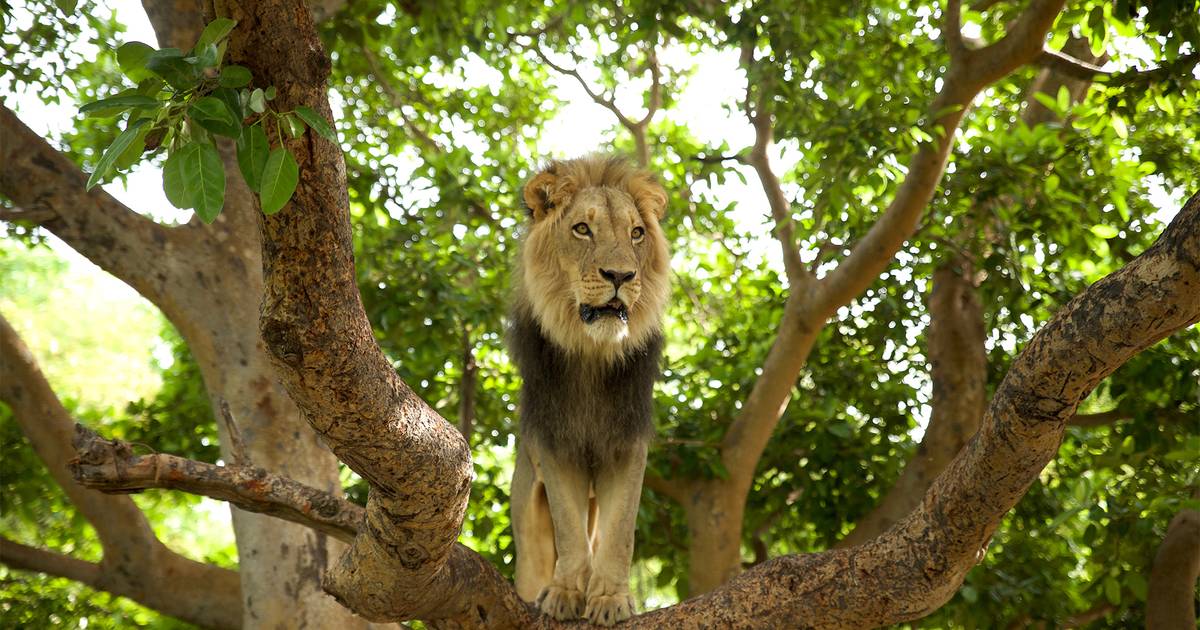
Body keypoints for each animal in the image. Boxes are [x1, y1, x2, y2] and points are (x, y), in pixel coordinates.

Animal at [508, 155, 670, 625]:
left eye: (636, 233)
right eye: (582, 229)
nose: (620, 275)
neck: (591, 354)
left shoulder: (627, 446)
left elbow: (620, 533)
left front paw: (610, 599)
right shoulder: (553, 444)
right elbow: (568, 528)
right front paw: (564, 593)